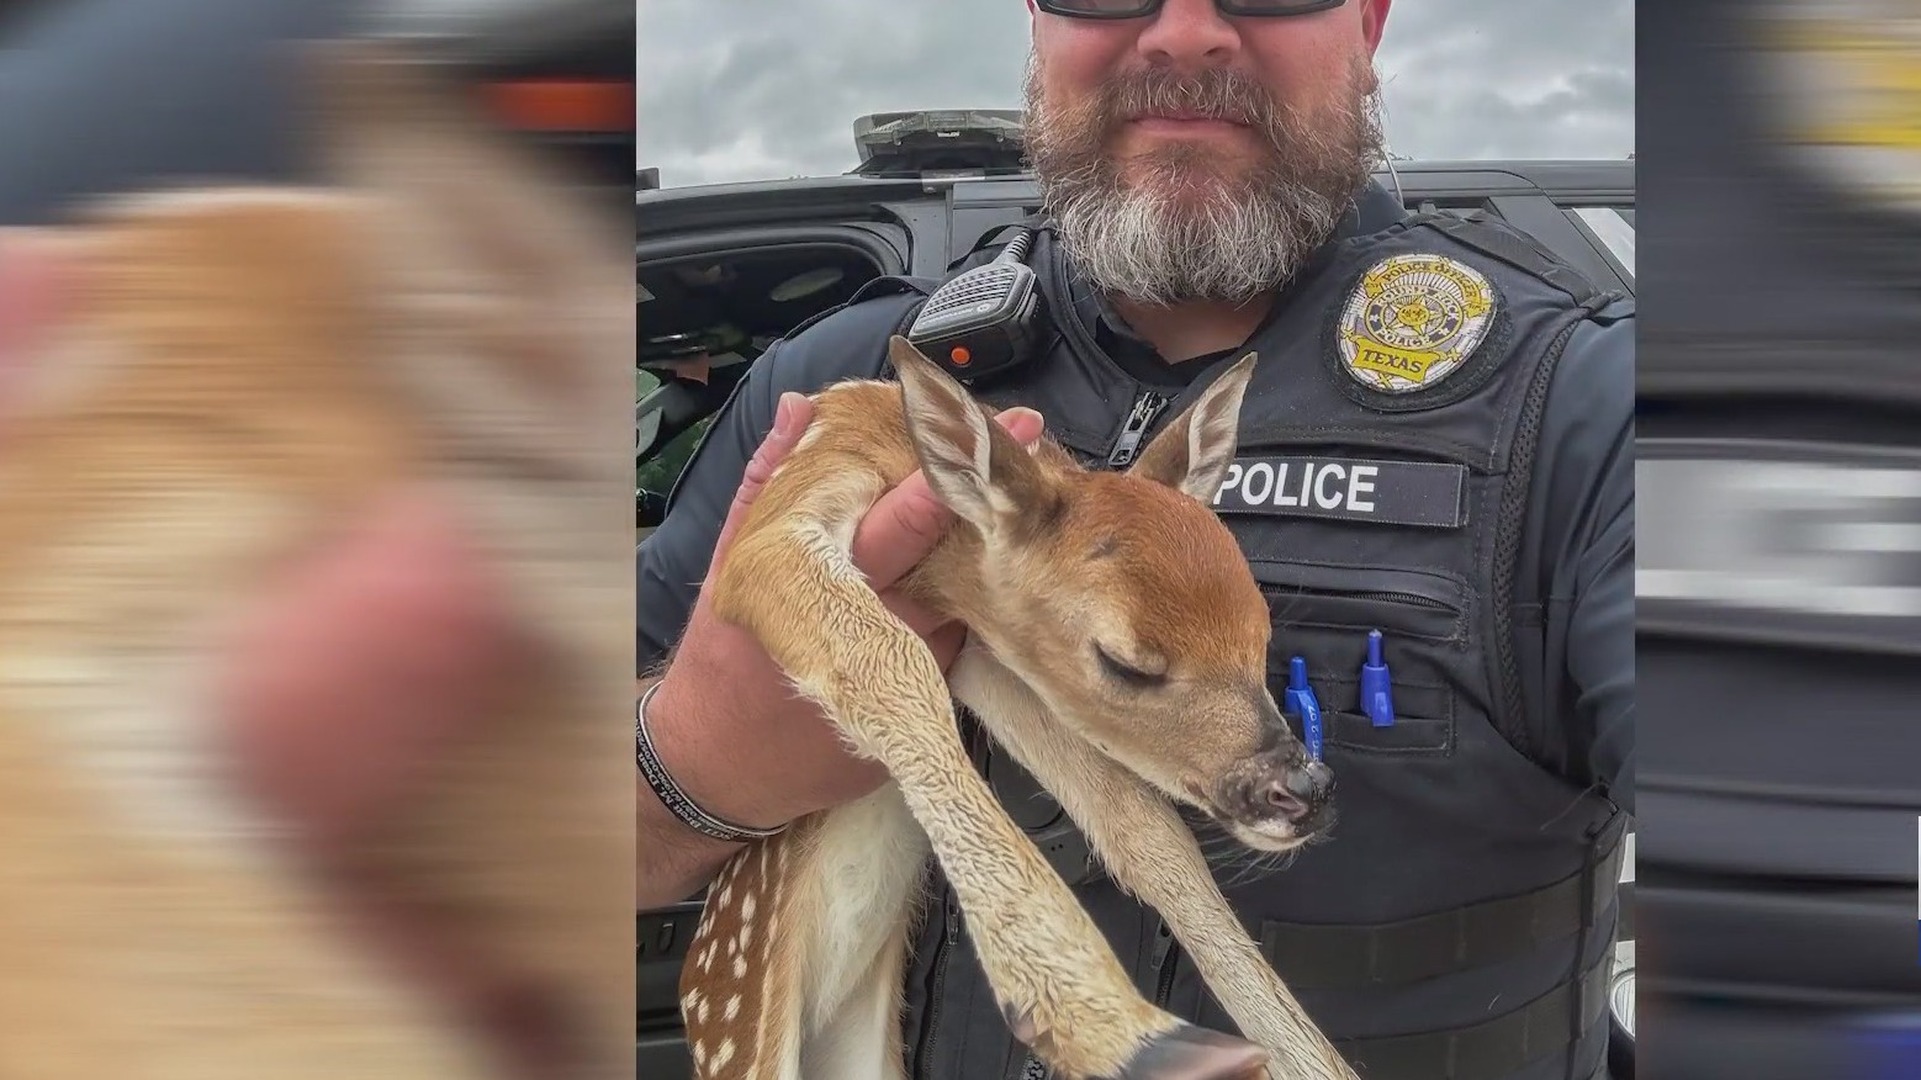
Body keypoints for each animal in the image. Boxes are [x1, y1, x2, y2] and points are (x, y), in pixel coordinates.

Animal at [674, 335, 1363, 1080]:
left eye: (1261, 633)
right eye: (1125, 662)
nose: (1301, 789)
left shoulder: (984, 651)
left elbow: (1141, 828)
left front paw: (1302, 1060)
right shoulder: (780, 514)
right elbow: (889, 656)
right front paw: (1112, 1025)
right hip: (735, 1028)